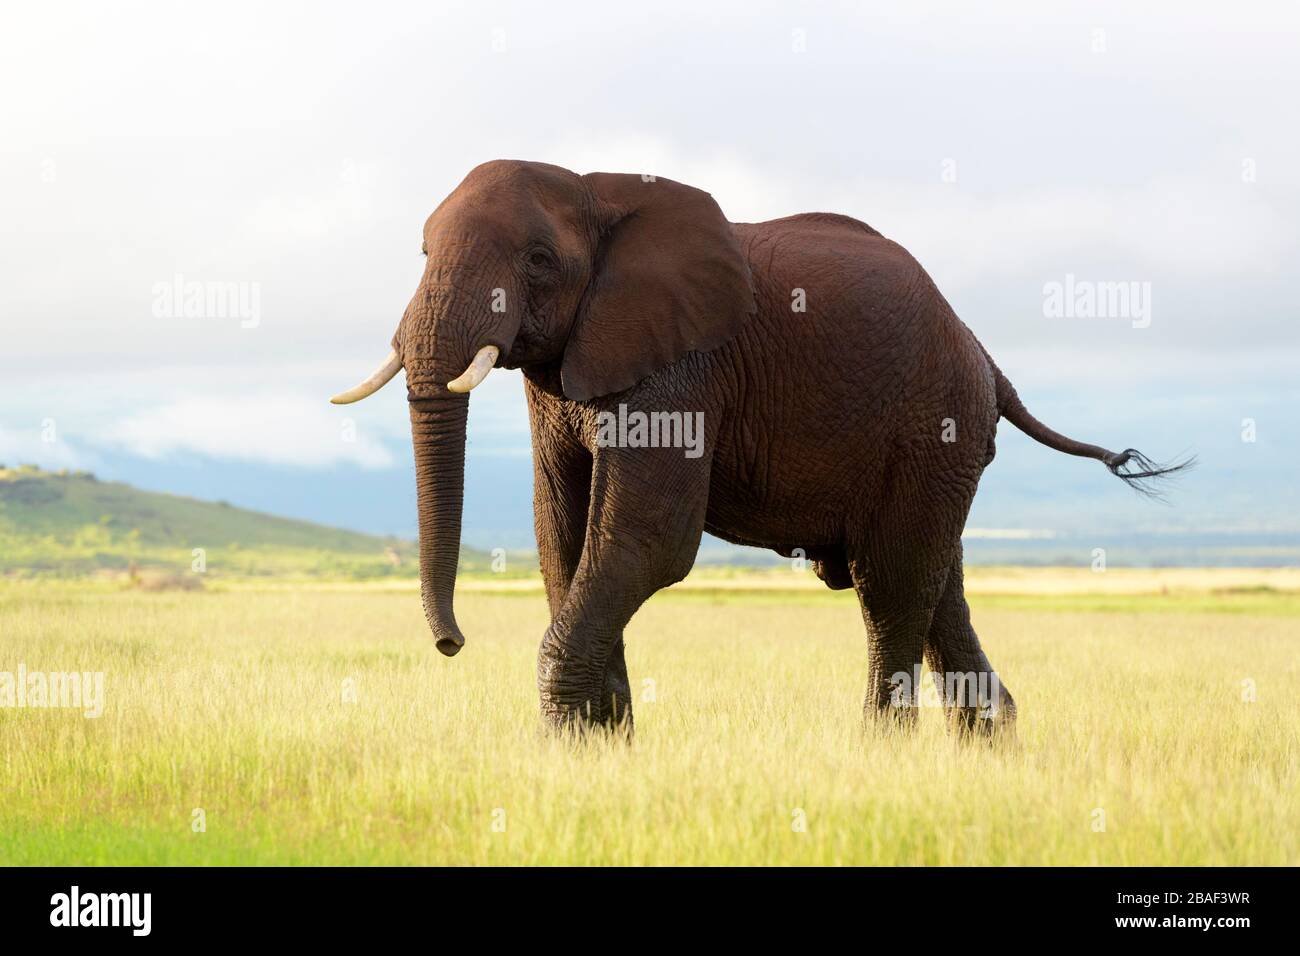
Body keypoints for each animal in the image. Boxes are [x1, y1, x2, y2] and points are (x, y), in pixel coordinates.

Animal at [331, 160, 1187, 736]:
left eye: (538, 261)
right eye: (420, 253)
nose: (450, 643)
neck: (596, 189)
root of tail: (985, 354)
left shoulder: (682, 366)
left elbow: (646, 539)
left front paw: (575, 747)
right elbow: (564, 535)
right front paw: (605, 748)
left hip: (932, 423)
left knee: (892, 581)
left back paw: (882, 754)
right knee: (937, 580)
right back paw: (991, 745)